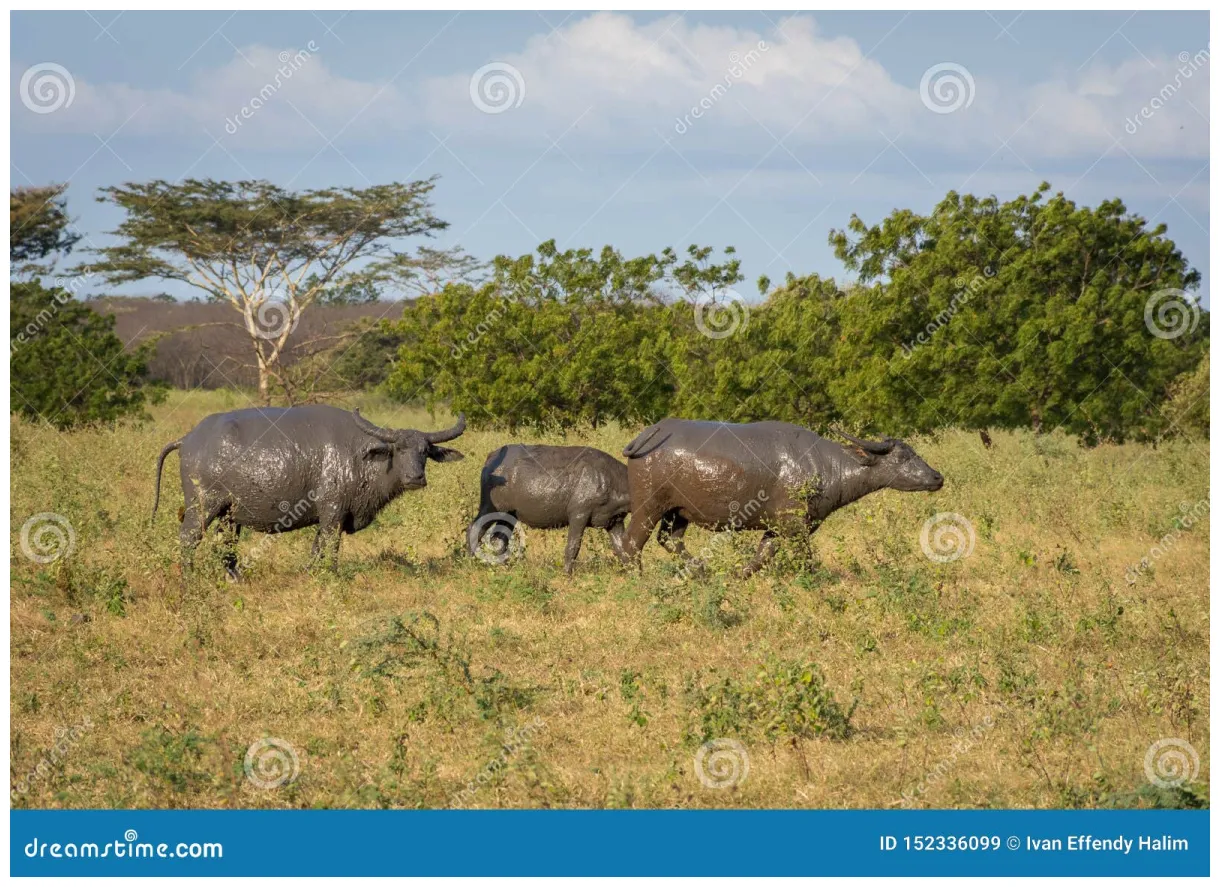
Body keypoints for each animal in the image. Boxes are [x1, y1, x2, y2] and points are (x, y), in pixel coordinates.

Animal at [153, 406, 465, 575]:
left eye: (425, 451)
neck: (361, 457)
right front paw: (332, 576)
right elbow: (330, 547)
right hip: (203, 505)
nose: (415, 477)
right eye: (398, 449)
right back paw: (189, 579)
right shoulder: (333, 513)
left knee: (225, 546)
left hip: (229, 515)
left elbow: (316, 549)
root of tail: (189, 438)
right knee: (189, 538)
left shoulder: (329, 518)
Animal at [467, 445, 631, 574]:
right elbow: (573, 547)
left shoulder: (614, 522)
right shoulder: (579, 516)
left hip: (509, 515)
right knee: (474, 529)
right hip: (490, 508)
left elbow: (624, 550)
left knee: (499, 539)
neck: (610, 479)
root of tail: (491, 457)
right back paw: (470, 561)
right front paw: (567, 574)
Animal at [620, 418, 943, 576]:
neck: (824, 465)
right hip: (649, 506)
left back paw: (701, 570)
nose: (937, 477)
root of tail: (649, 434)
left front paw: (737, 575)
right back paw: (638, 577)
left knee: (669, 539)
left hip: (677, 511)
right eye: (903, 457)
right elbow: (807, 560)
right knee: (631, 543)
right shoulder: (795, 525)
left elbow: (762, 556)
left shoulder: (776, 528)